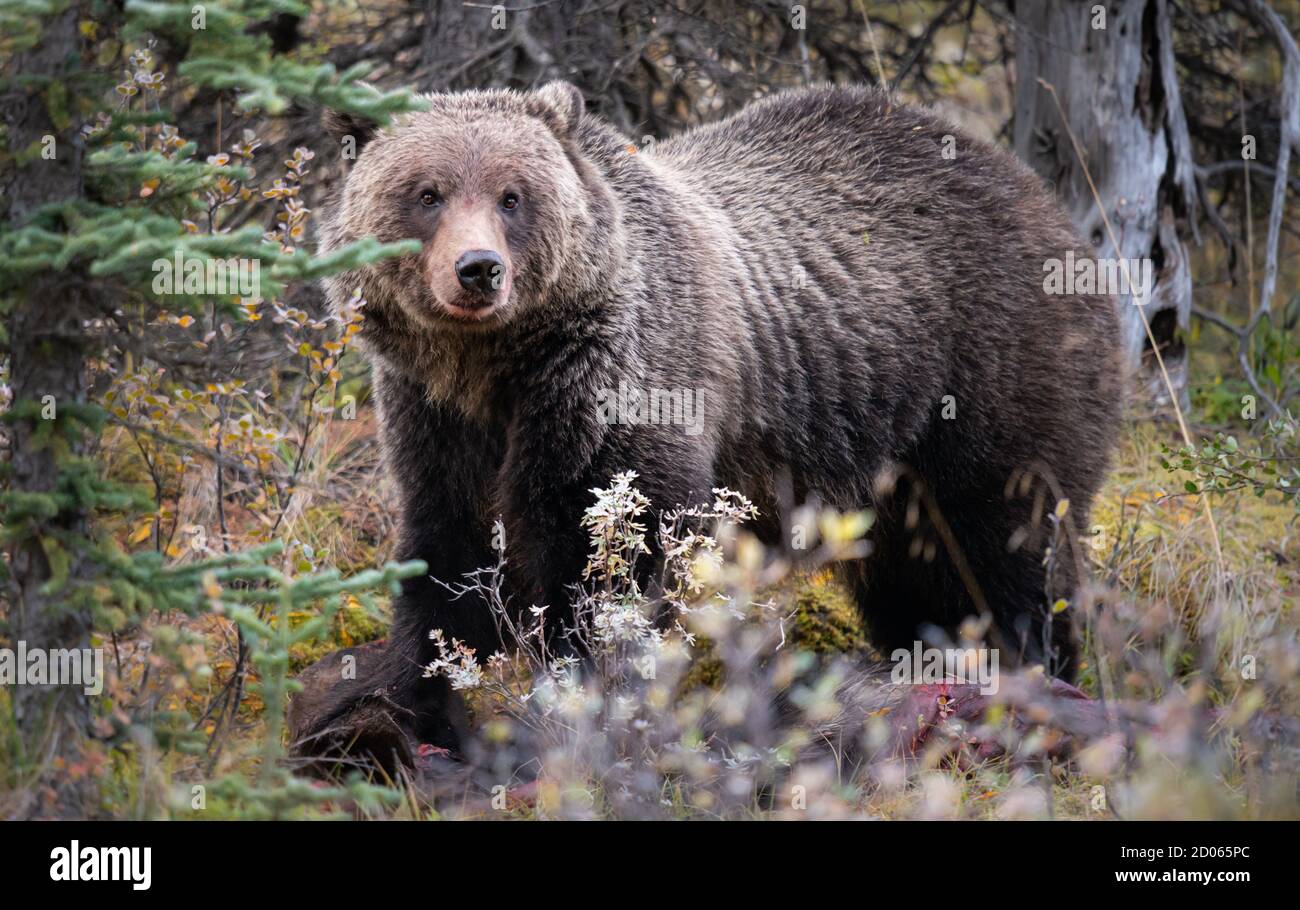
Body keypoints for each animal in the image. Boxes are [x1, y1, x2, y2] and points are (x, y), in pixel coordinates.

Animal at [306, 81, 1123, 762]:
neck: (497, 369)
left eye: (512, 195)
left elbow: (612, 560)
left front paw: (581, 701)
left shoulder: (621, 387)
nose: (478, 269)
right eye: (428, 192)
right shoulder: (436, 421)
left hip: (991, 377)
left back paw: (1032, 677)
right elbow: (448, 561)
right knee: (911, 580)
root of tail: (1031, 188)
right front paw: (402, 711)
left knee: (1001, 550)